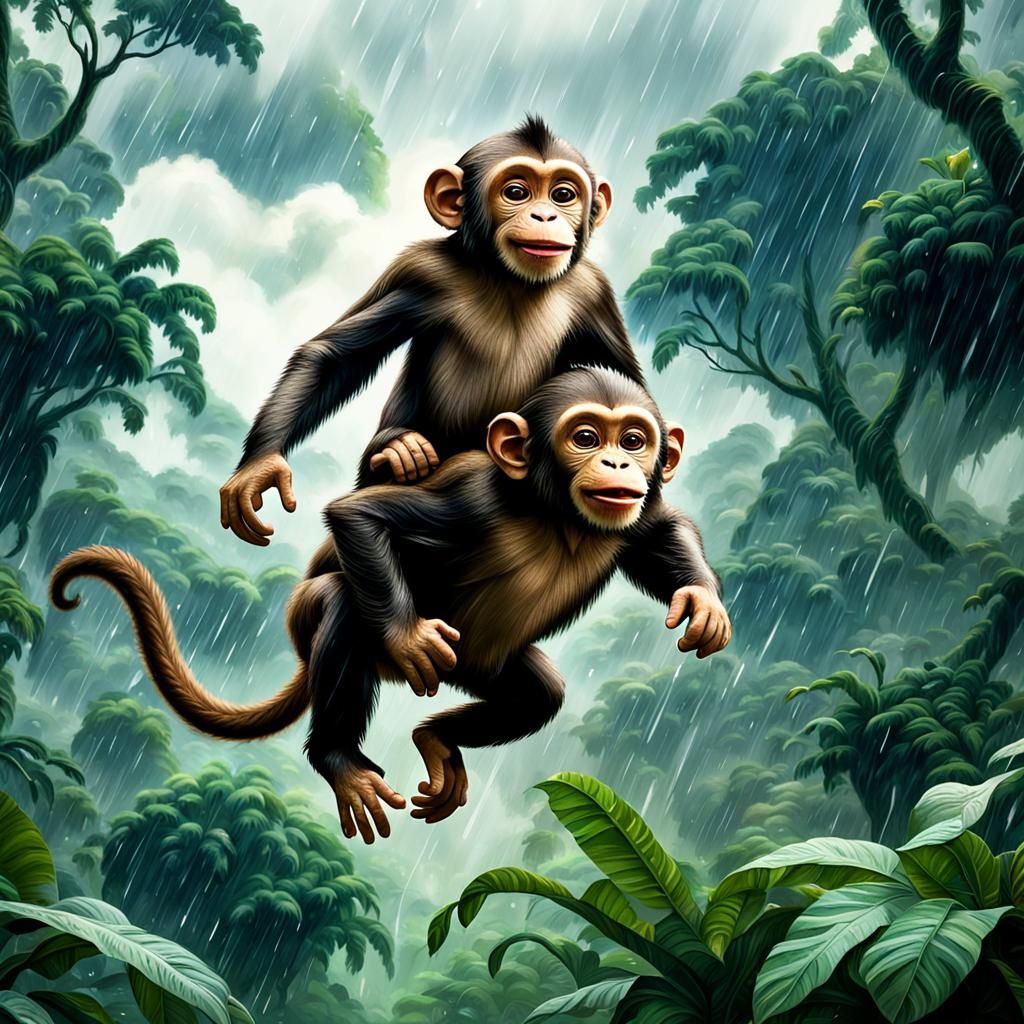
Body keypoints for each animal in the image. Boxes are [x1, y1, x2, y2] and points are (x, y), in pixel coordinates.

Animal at [52, 369, 731, 843]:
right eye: (586, 437)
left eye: (635, 440)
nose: (617, 461)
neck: (552, 513)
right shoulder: (472, 501)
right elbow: (362, 517)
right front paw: (409, 637)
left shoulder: (632, 514)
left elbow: (659, 530)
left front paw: (702, 599)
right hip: (335, 629)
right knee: (346, 607)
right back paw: (340, 756)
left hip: (480, 668)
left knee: (538, 693)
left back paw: (435, 736)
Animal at [218, 115, 645, 548]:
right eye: (516, 192)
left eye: (562, 194)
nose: (545, 216)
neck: (509, 280)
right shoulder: (423, 273)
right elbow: (338, 357)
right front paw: (259, 468)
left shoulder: (593, 292)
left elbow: (624, 381)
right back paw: (397, 448)